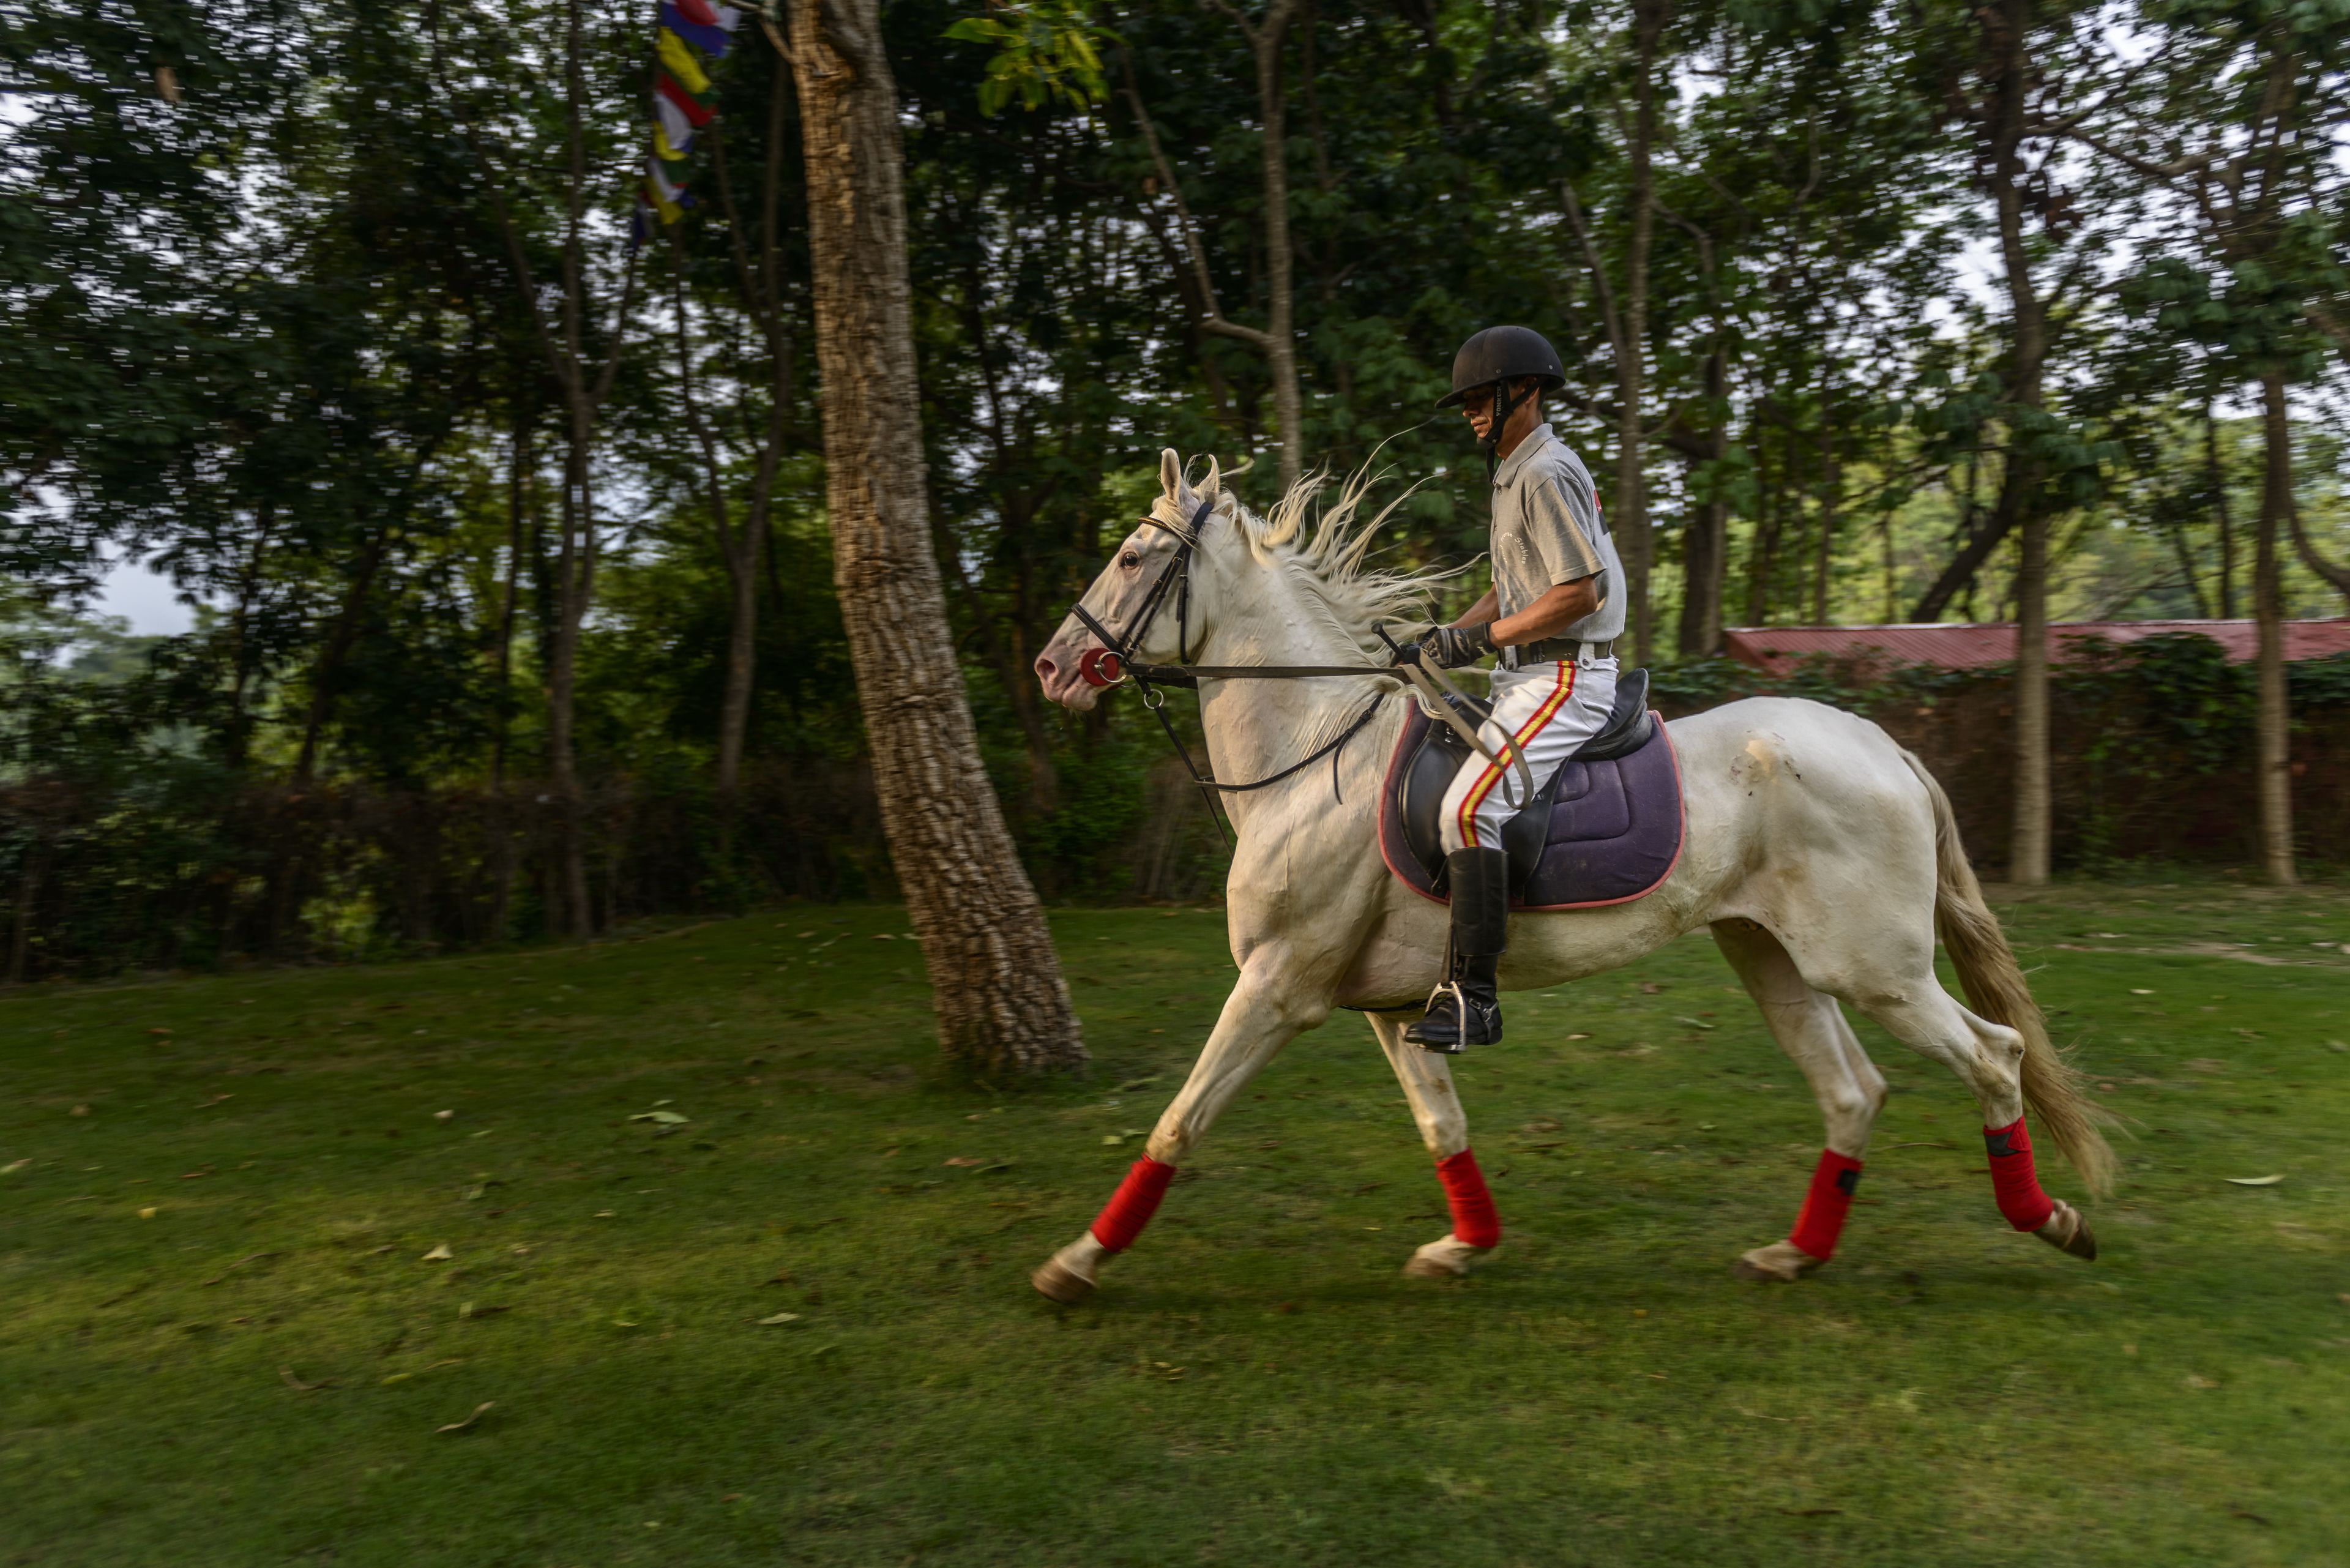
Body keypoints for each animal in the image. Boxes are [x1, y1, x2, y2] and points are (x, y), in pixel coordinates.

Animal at [1026, 451, 2114, 1301]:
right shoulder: (1386, 1004)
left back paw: (2053, 1221)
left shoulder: (1278, 986)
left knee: (1996, 1057)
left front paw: (1076, 1262)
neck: (1310, 751)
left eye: (1133, 557)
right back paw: (1794, 1254)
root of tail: (1885, 745)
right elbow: (1442, 1121)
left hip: (1874, 967)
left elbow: (1178, 1122)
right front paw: (1466, 1244)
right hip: (1771, 956)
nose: (1051, 667)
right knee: (1854, 1091)